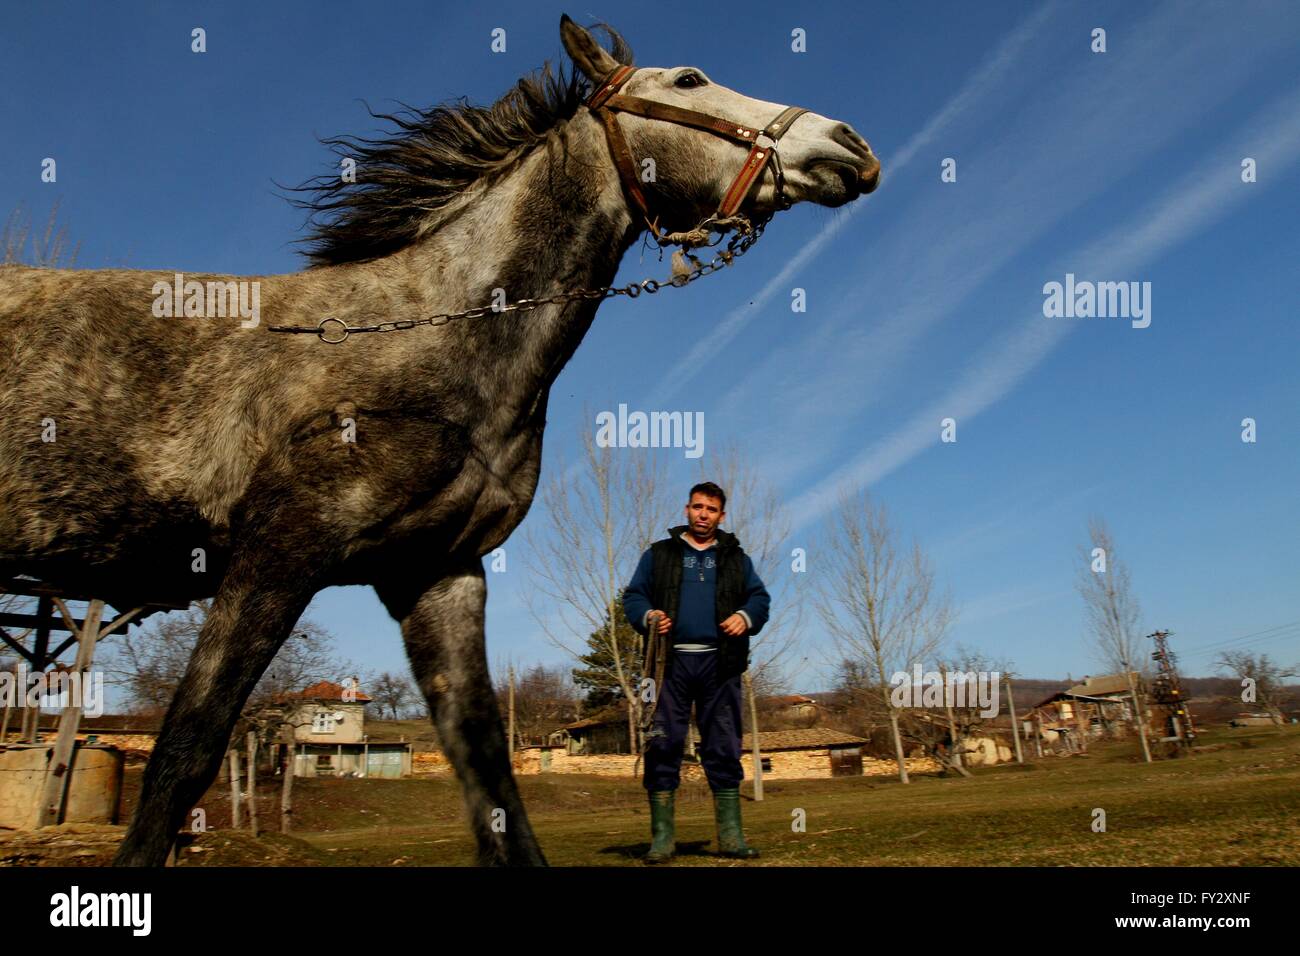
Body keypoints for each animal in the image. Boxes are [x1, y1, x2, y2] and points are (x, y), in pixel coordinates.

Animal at [0, 15, 879, 866]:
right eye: (690, 79)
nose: (850, 146)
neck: (423, 339)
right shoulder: (277, 555)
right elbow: (184, 753)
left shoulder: (437, 575)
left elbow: (492, 782)